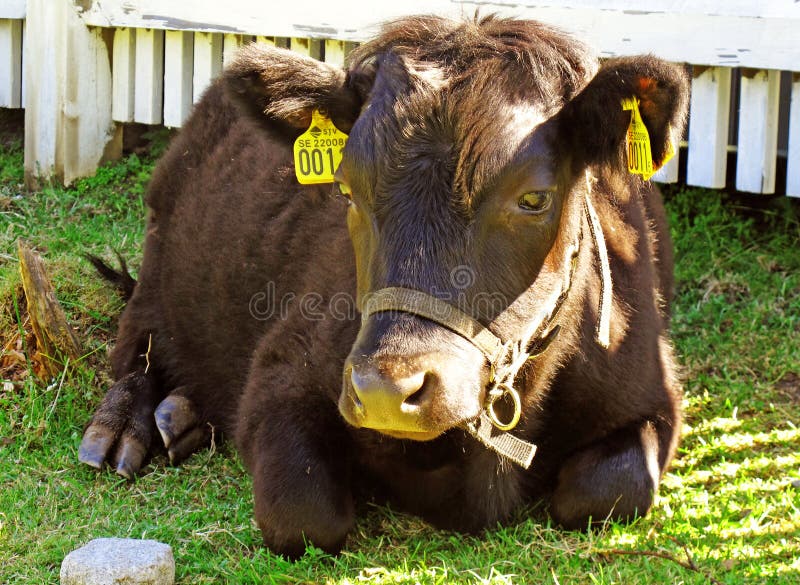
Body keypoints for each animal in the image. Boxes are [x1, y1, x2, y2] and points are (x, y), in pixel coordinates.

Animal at [79, 15, 688, 558]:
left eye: (534, 198)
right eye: (347, 189)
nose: (385, 391)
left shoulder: (654, 394)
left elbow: (610, 490)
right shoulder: (282, 373)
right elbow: (303, 514)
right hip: (159, 261)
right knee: (138, 348)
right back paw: (129, 425)